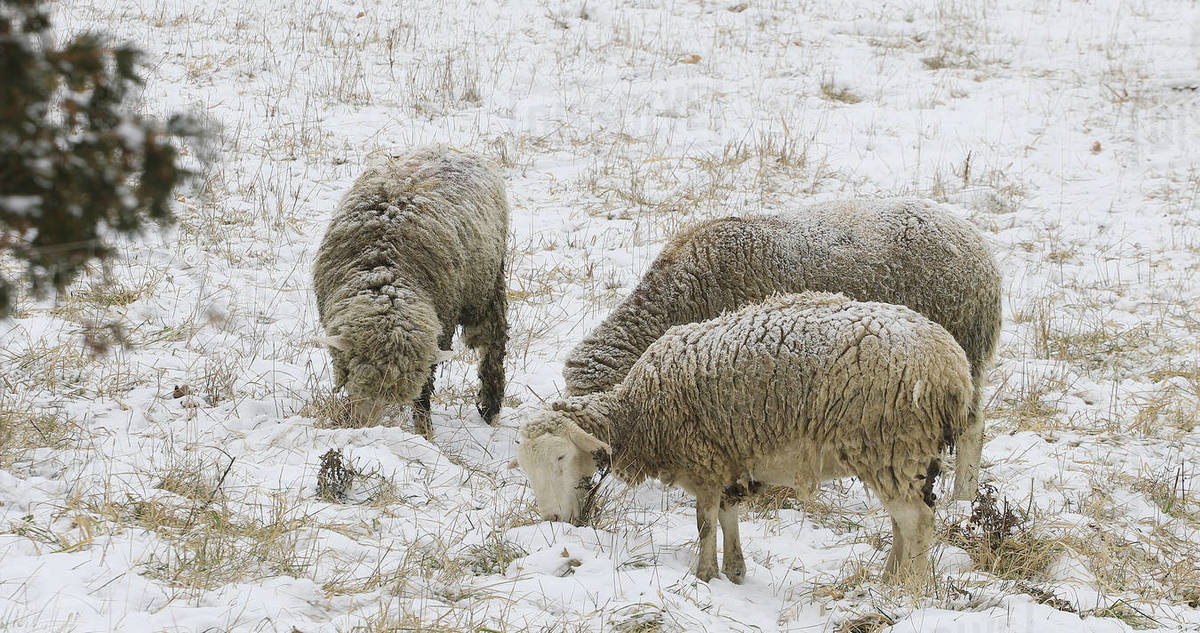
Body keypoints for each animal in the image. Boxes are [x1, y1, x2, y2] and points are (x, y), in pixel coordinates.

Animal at [313, 147, 509, 437]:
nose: (364, 426)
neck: (384, 276)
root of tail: (448, 148)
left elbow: (423, 397)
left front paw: (424, 434)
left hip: (488, 285)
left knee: (492, 342)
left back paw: (490, 407)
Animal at [515, 292, 973, 584]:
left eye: (560, 458)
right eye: (527, 468)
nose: (551, 519)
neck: (640, 412)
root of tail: (952, 366)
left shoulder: (703, 460)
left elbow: (704, 523)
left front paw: (703, 576)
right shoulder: (729, 459)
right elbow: (727, 515)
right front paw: (734, 571)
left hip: (889, 444)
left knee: (918, 522)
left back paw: (907, 590)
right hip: (900, 454)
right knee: (903, 520)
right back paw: (888, 579)